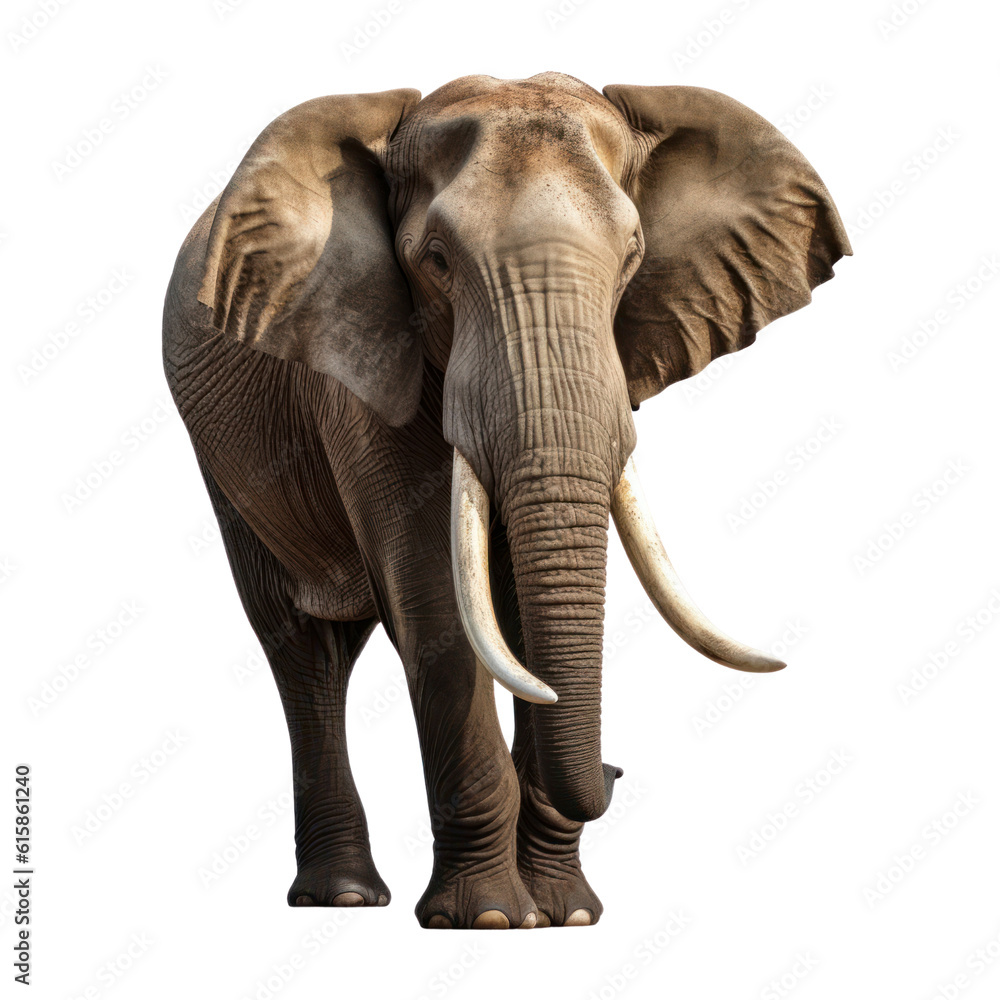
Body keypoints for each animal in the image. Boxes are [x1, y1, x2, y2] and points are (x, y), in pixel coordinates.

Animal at [162, 72, 850, 929]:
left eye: (633, 256)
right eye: (435, 261)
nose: (617, 771)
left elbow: (519, 602)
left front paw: (567, 915)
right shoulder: (358, 355)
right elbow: (436, 601)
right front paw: (489, 917)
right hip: (226, 456)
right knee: (301, 647)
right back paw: (345, 897)